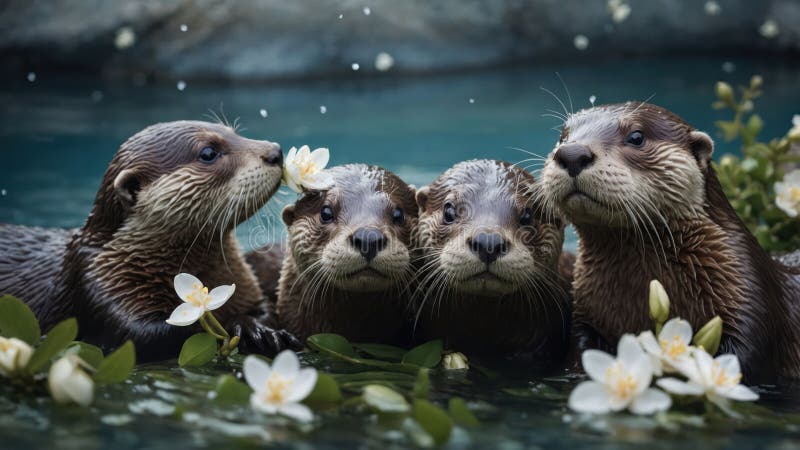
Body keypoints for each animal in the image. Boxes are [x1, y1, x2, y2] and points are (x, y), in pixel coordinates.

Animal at [0, 121, 299, 361]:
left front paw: (256, 328)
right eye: (208, 153)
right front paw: (237, 326)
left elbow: (265, 309)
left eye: (235, 132)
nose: (275, 152)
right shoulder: (99, 293)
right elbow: (150, 336)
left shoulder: (246, 284)